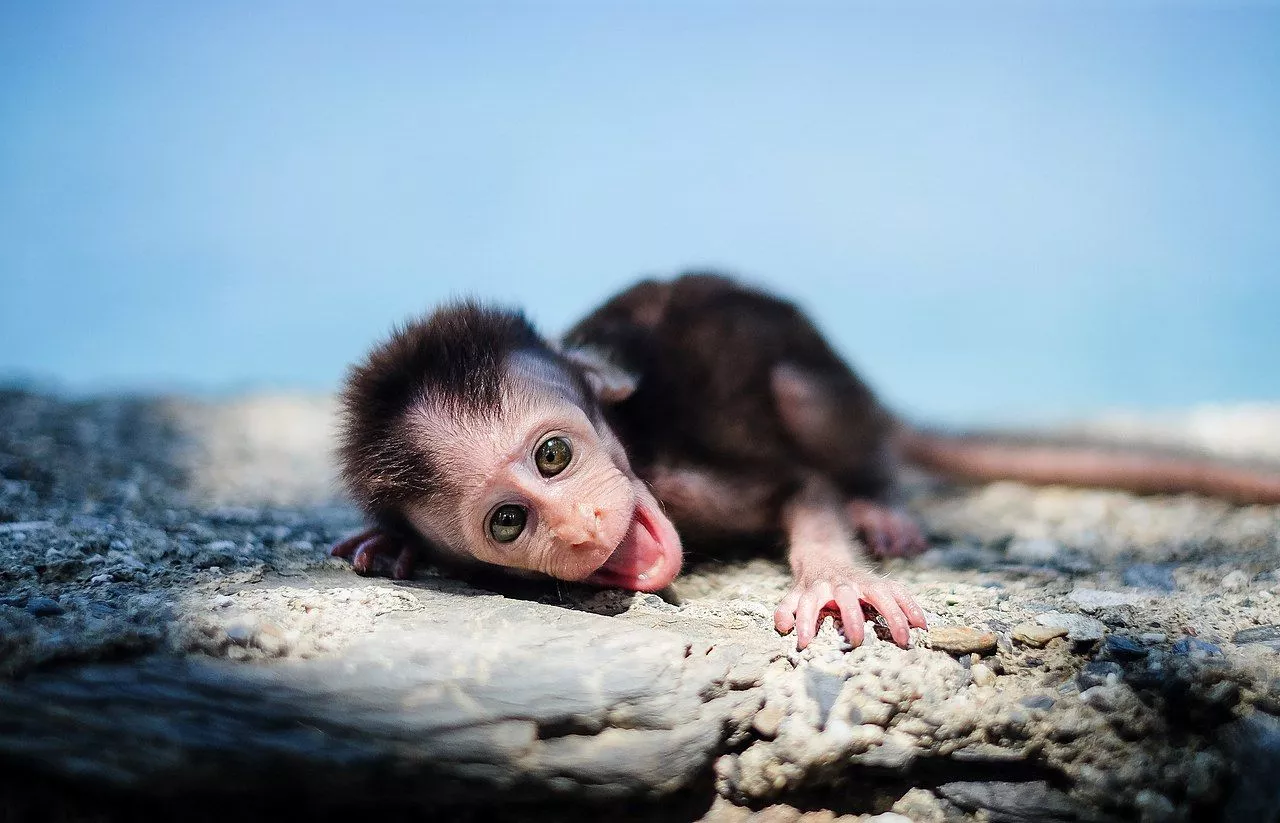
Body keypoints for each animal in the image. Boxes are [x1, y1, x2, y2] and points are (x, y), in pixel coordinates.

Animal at [331, 273, 1280, 651]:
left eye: (554, 455)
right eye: (509, 520)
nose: (581, 525)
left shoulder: (684, 473)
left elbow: (799, 489)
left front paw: (833, 573)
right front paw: (390, 541)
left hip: (829, 391)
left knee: (807, 402)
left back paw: (876, 505)